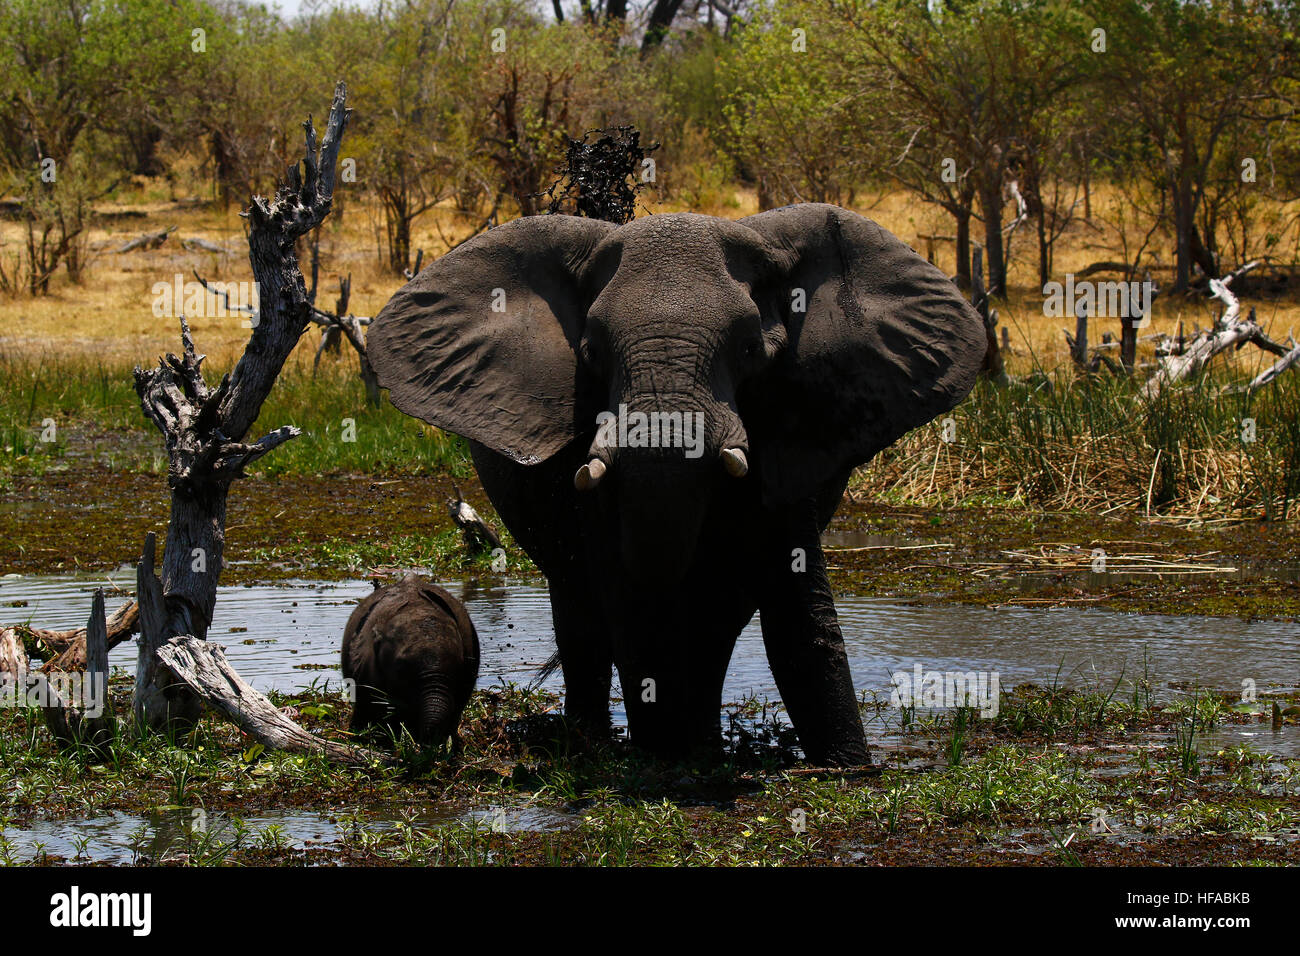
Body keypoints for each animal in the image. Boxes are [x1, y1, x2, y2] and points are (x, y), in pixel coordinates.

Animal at [367, 203, 985, 765]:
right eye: (591, 351)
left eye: (749, 350)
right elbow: (627, 596)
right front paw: (662, 759)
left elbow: (793, 604)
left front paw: (847, 768)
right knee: (584, 617)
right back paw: (599, 745)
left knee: (719, 620)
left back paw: (702, 744)